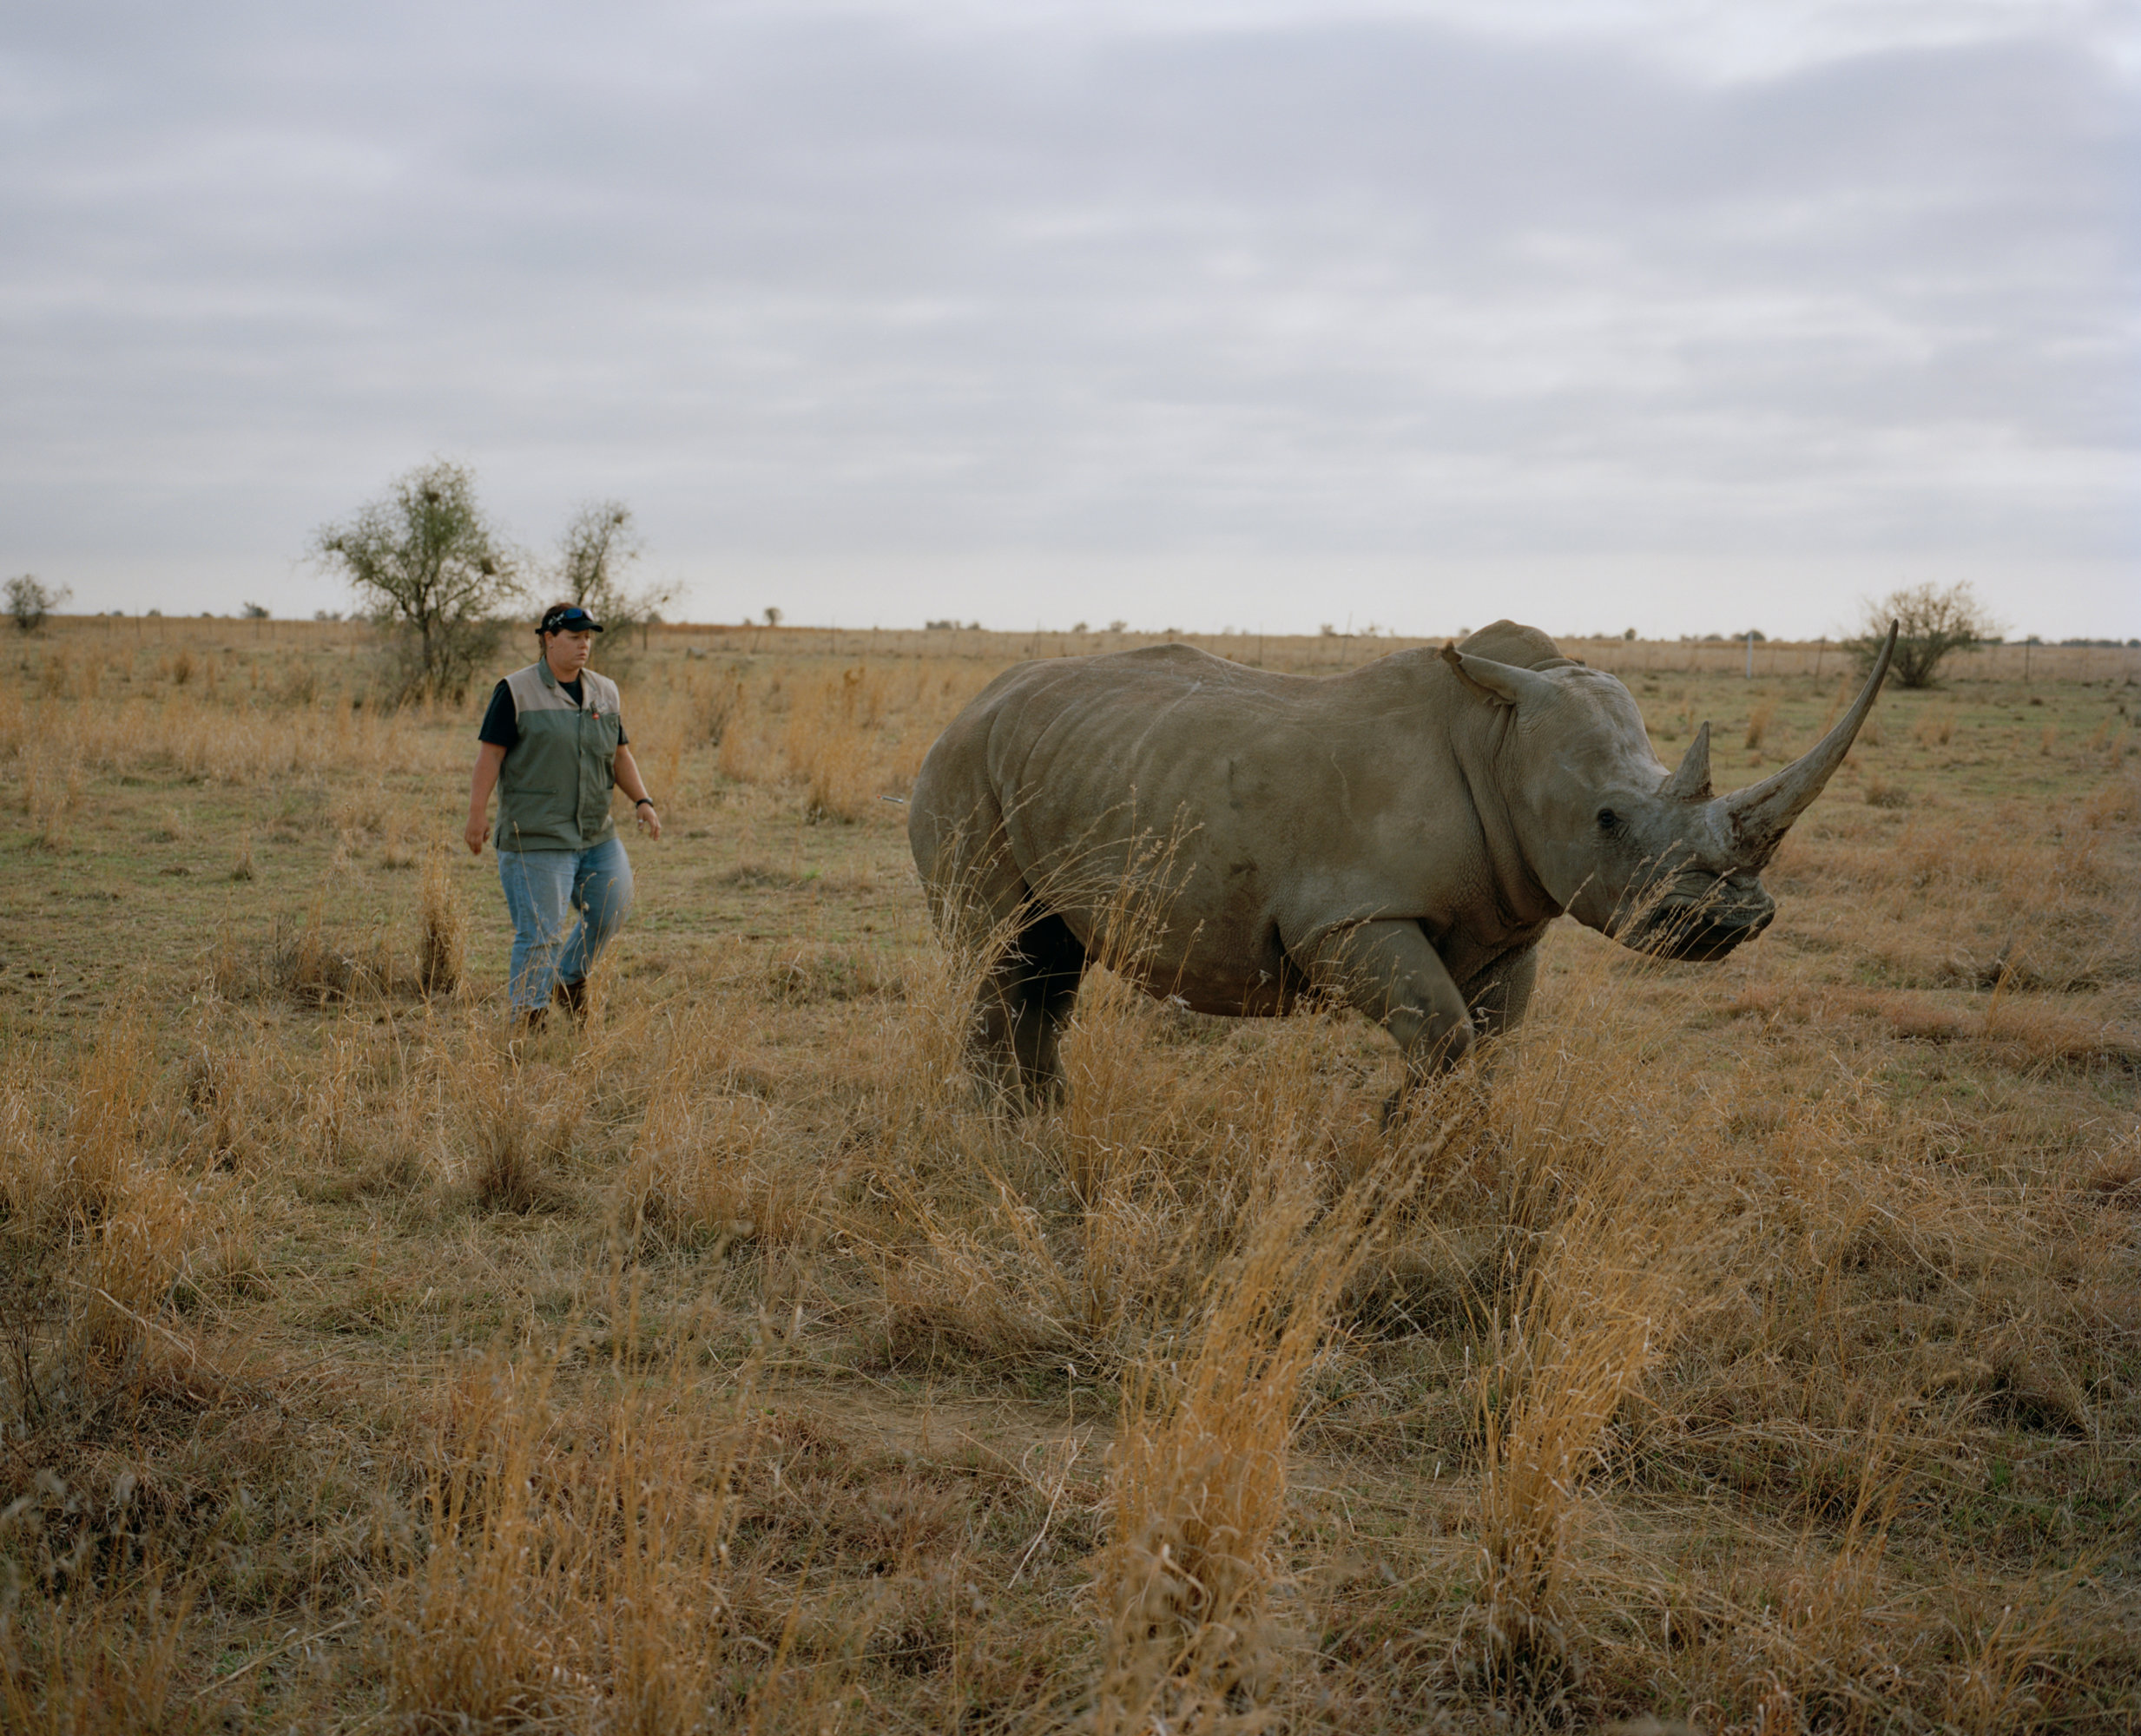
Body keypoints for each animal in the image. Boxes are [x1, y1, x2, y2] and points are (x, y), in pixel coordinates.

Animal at [908, 619, 1895, 1110]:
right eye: (1609, 819)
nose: (1737, 921)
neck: (1503, 740)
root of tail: (970, 702)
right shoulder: (1349, 916)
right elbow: (1444, 1032)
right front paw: (1390, 1146)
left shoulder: (1513, 918)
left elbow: (1486, 1047)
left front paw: (1447, 1158)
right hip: (961, 769)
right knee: (998, 947)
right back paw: (994, 1130)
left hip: (1059, 759)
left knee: (1049, 956)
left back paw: (1045, 1116)